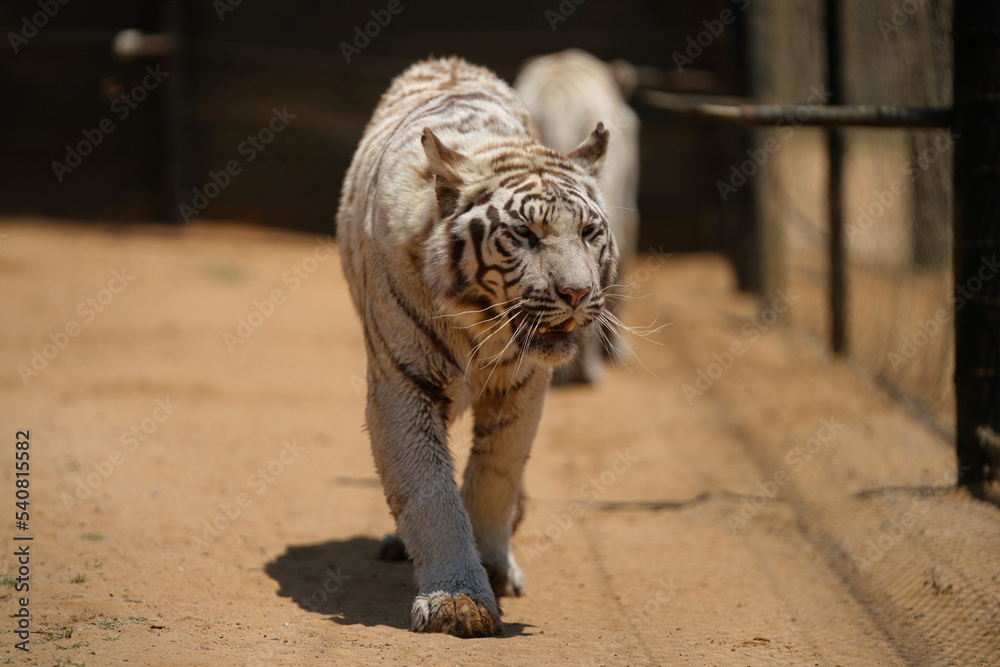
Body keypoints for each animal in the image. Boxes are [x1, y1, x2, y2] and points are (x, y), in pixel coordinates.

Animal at [336, 56, 617, 638]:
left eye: (588, 233)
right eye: (526, 235)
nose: (578, 293)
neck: (479, 326)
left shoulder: (524, 388)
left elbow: (494, 476)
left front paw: (493, 568)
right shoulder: (403, 387)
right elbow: (430, 494)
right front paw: (457, 600)